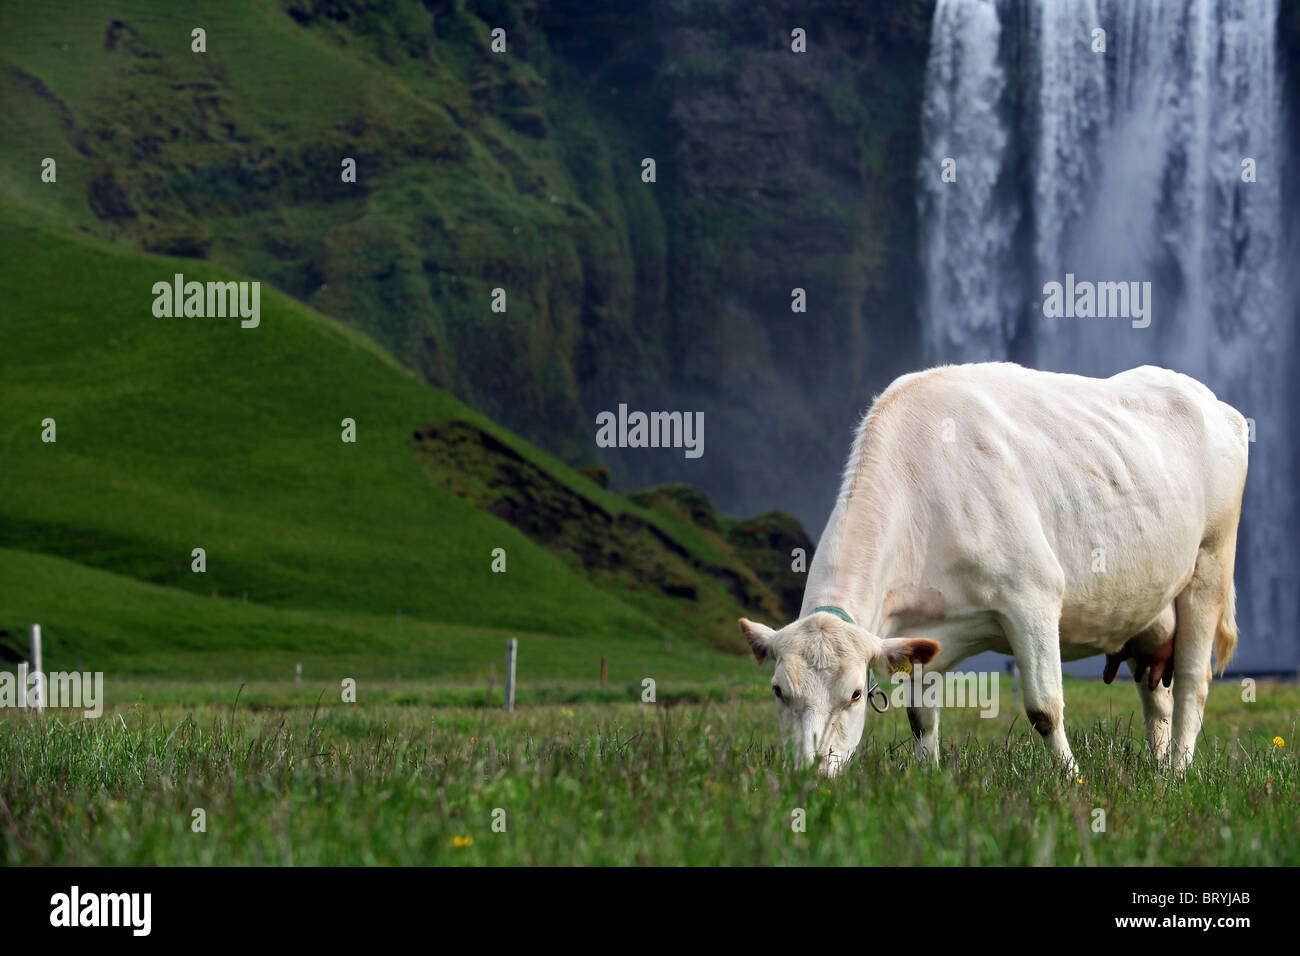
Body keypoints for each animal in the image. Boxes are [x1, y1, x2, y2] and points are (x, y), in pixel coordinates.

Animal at [740, 363, 1247, 777]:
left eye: (855, 694)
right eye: (778, 691)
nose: (810, 773)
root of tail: (1213, 401)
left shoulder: (1032, 596)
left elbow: (1045, 708)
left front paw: (1071, 781)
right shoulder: (924, 634)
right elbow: (920, 718)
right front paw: (928, 778)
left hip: (1209, 565)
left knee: (1191, 684)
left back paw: (1178, 773)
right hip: (1151, 610)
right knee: (1155, 693)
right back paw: (1157, 769)